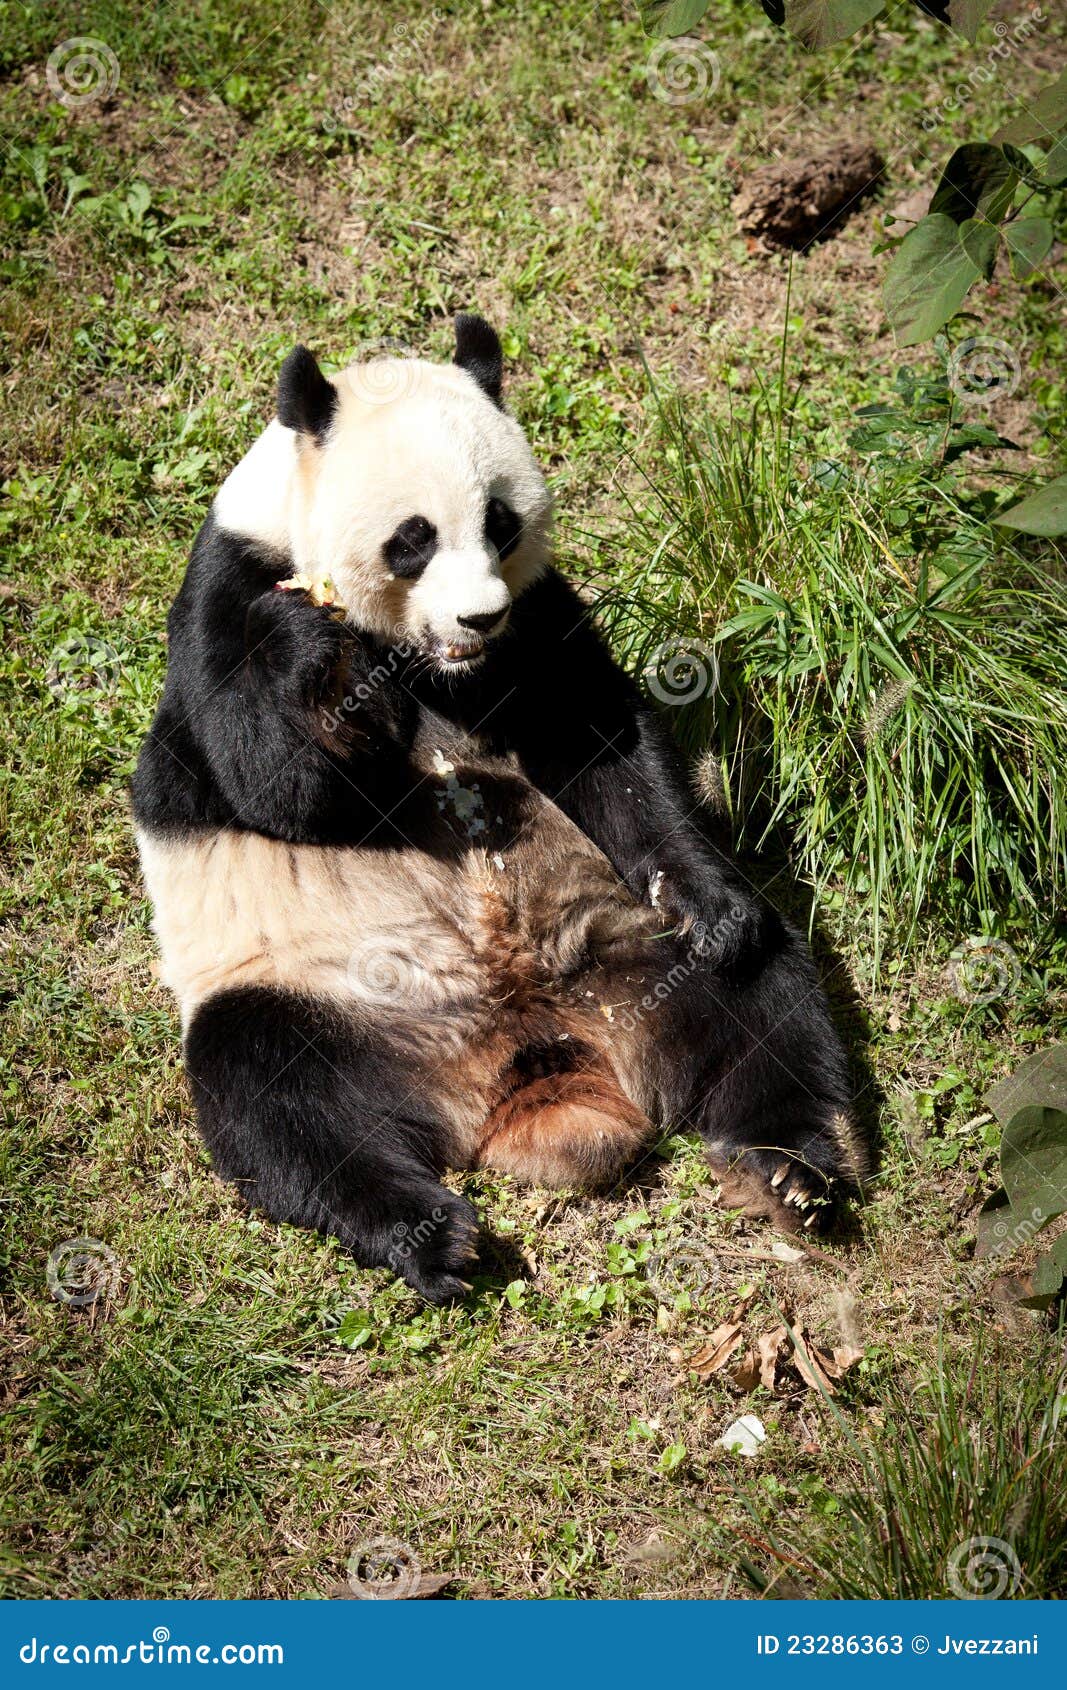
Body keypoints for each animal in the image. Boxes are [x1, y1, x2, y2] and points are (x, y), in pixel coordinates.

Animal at [132, 314, 871, 1303]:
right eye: (411, 538)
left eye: (500, 522)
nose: (478, 618)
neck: (431, 661)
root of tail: (526, 1057)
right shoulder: (226, 591)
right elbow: (276, 785)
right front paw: (317, 663)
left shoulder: (540, 611)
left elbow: (601, 743)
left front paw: (698, 893)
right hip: (316, 988)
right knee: (277, 1097)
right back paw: (427, 1233)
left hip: (625, 947)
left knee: (764, 997)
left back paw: (786, 1168)